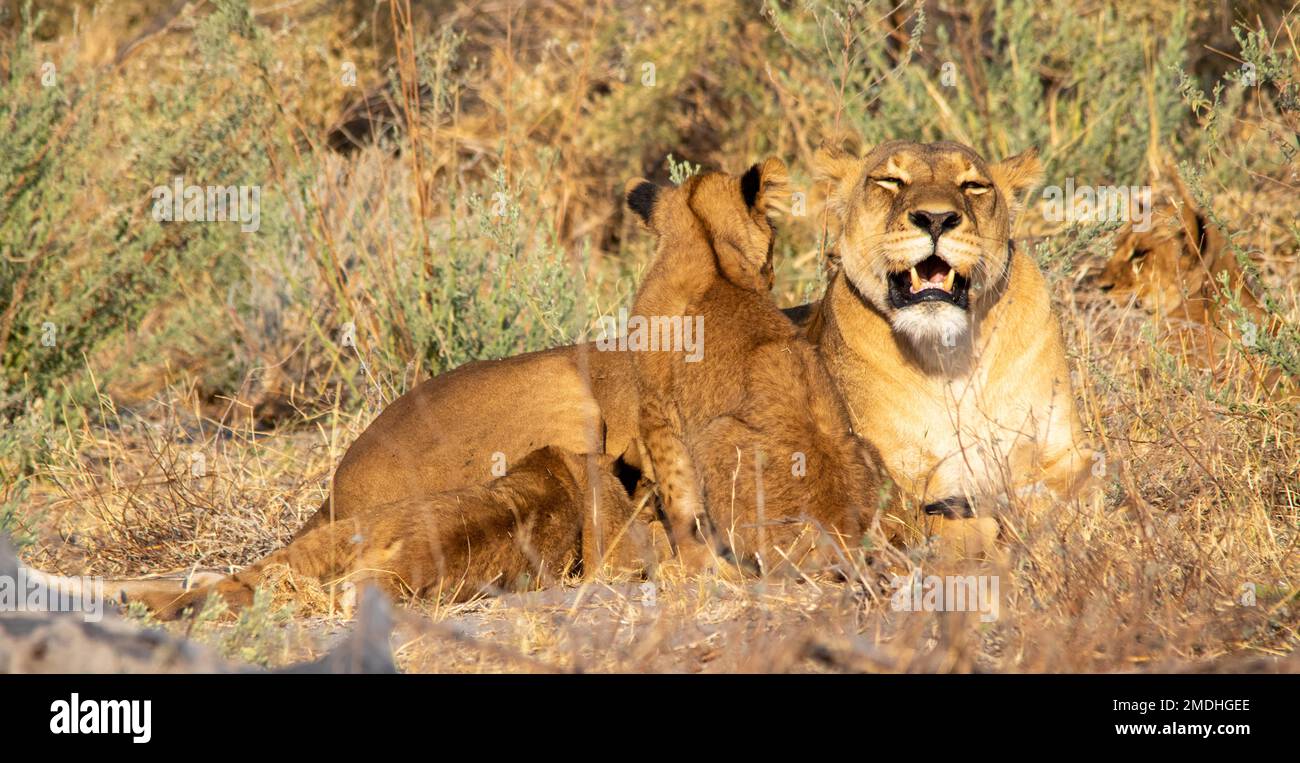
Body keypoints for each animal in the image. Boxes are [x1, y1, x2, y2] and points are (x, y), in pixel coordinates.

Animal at [623, 159, 885, 574]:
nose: (773, 274)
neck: (704, 236)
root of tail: (843, 533)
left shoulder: (657, 410)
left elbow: (679, 498)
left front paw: (690, 566)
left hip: (715, 434)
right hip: (863, 445)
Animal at [808, 140, 1096, 545]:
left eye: (973, 186)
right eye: (890, 181)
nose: (936, 219)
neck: (951, 355)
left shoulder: (1067, 453)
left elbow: (1080, 495)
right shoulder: (888, 485)